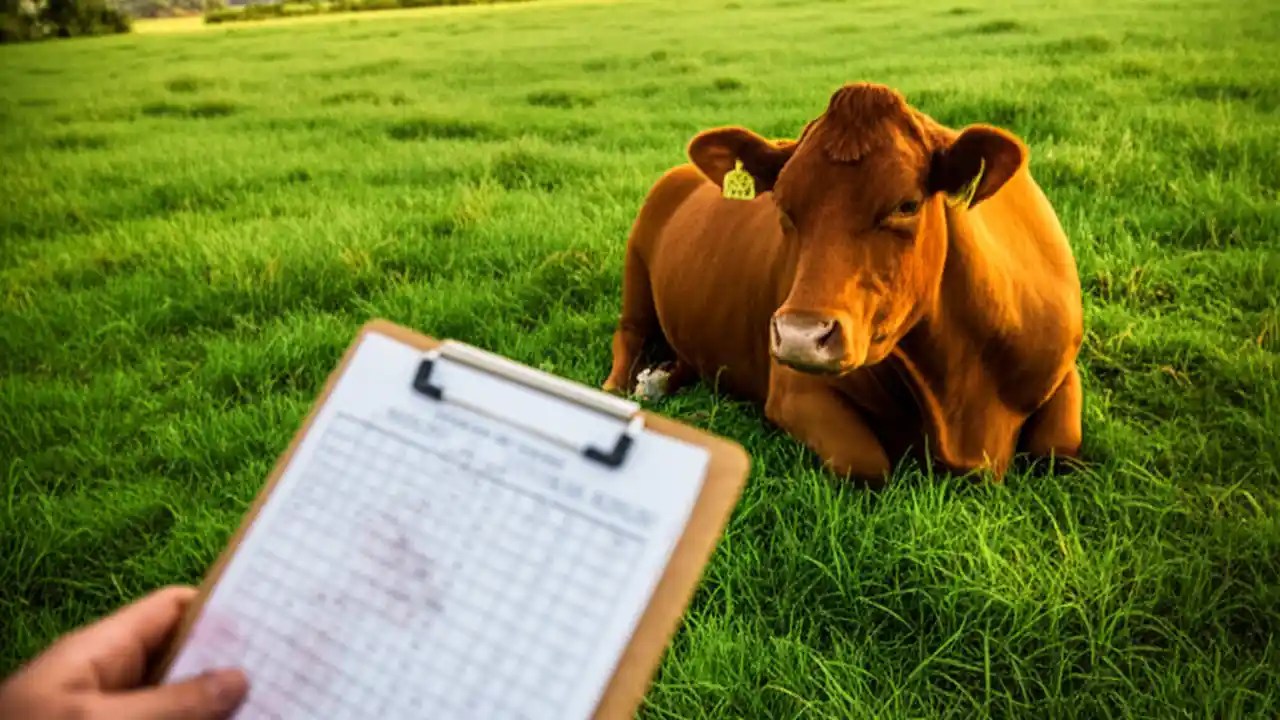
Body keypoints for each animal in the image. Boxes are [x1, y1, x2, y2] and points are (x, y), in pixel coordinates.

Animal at [601, 81, 1084, 486]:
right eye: (782, 204)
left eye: (906, 205)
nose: (800, 336)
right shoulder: (794, 391)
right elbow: (866, 464)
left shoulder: (1063, 372)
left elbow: (1059, 449)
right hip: (636, 278)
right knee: (628, 336)